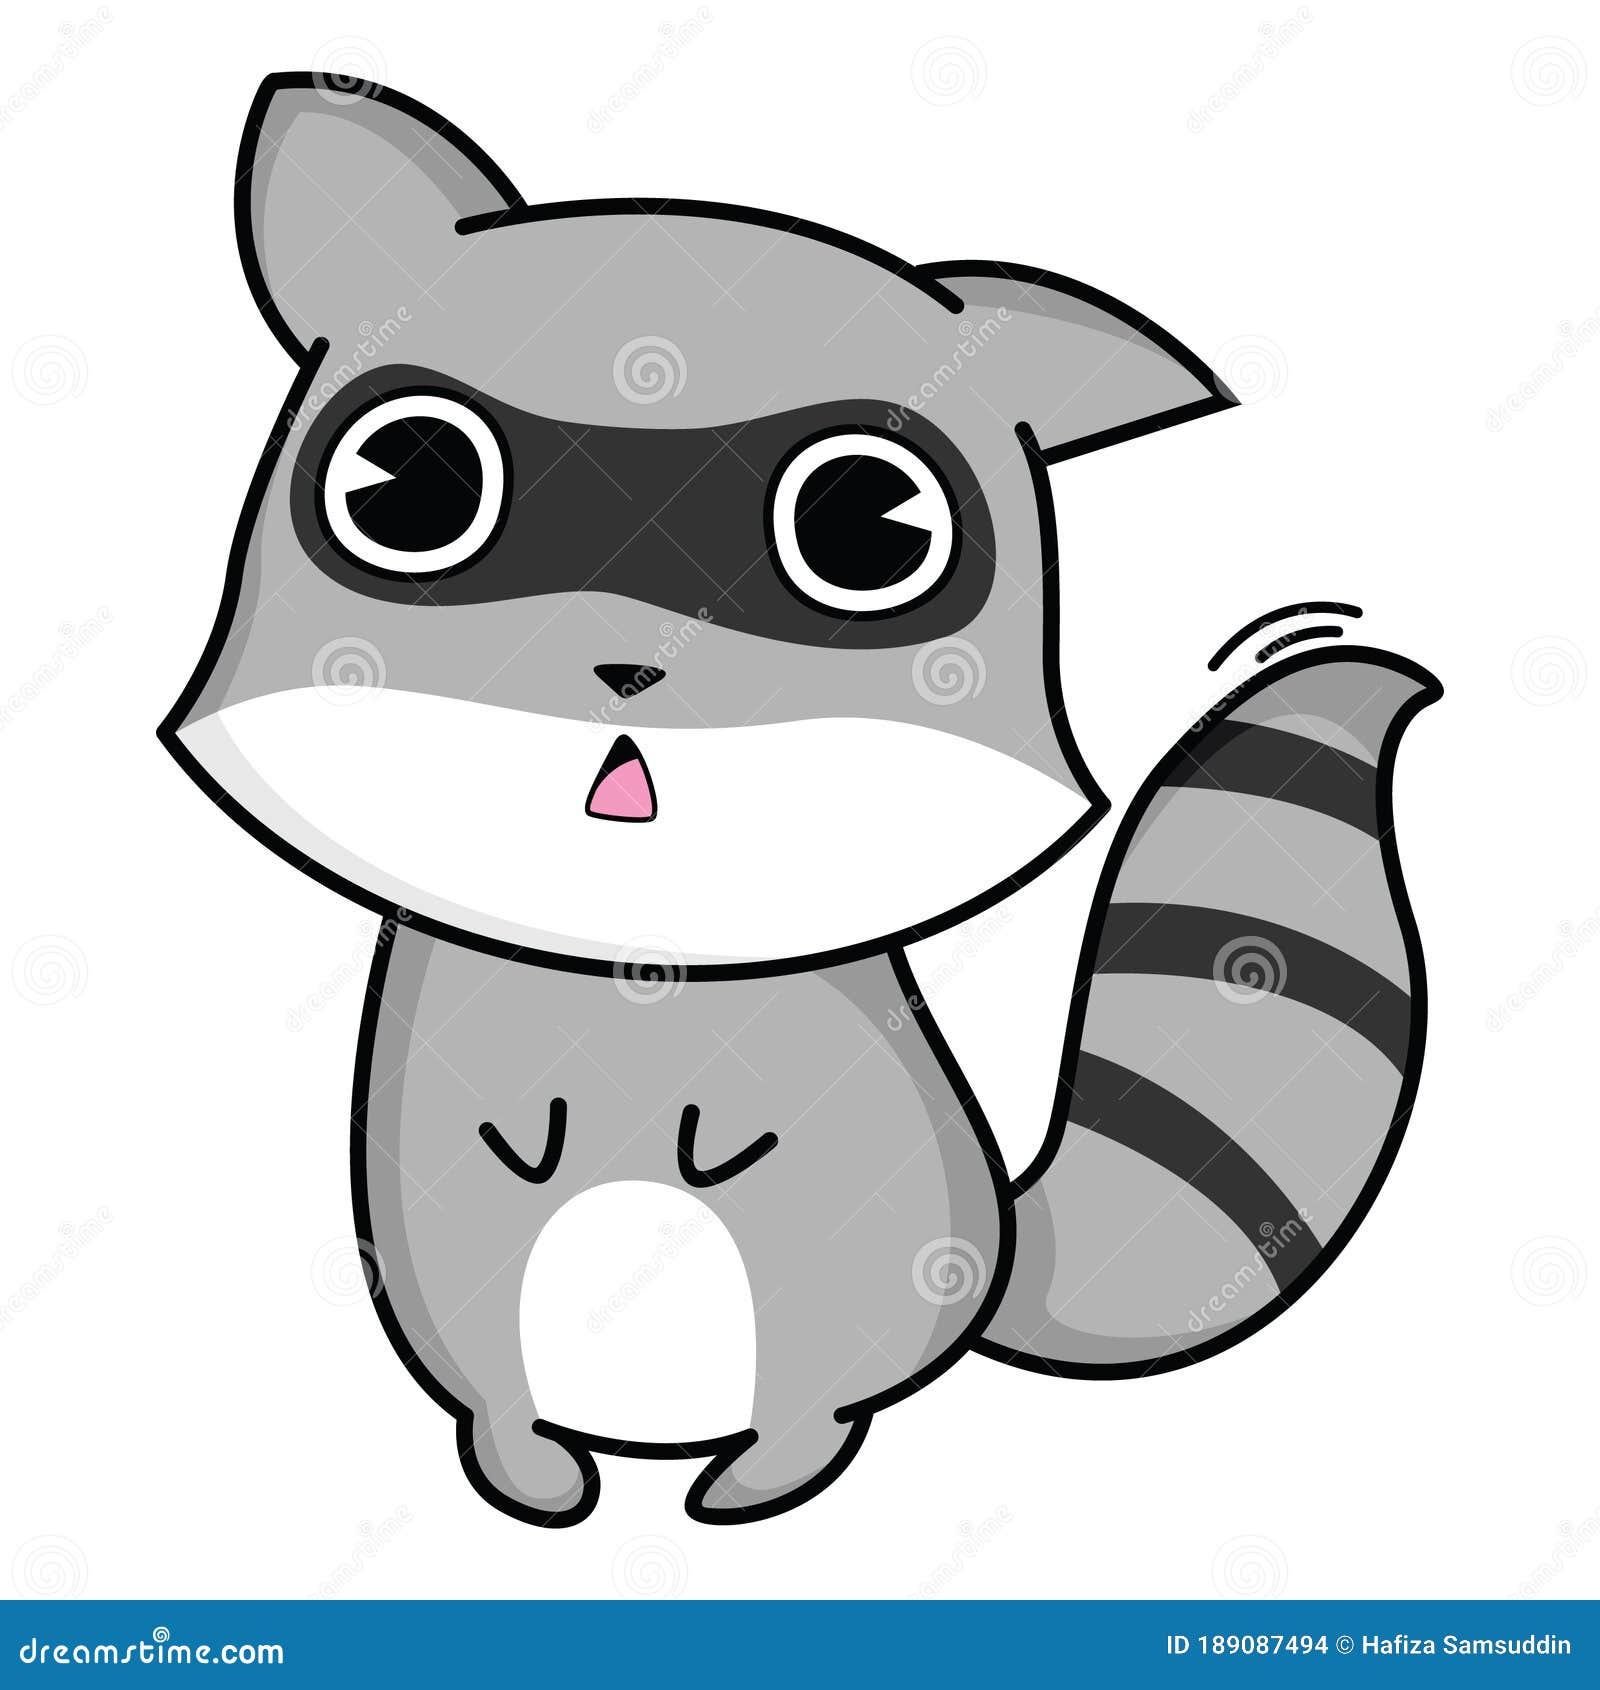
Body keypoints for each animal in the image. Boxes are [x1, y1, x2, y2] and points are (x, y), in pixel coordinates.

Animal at [161, 74, 1439, 1525]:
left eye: (866, 528)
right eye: (416, 485)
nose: (628, 666)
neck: (638, 959)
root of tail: (999, 1251)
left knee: (811, 1398)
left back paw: (754, 1474)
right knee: (512, 1390)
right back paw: (544, 1469)